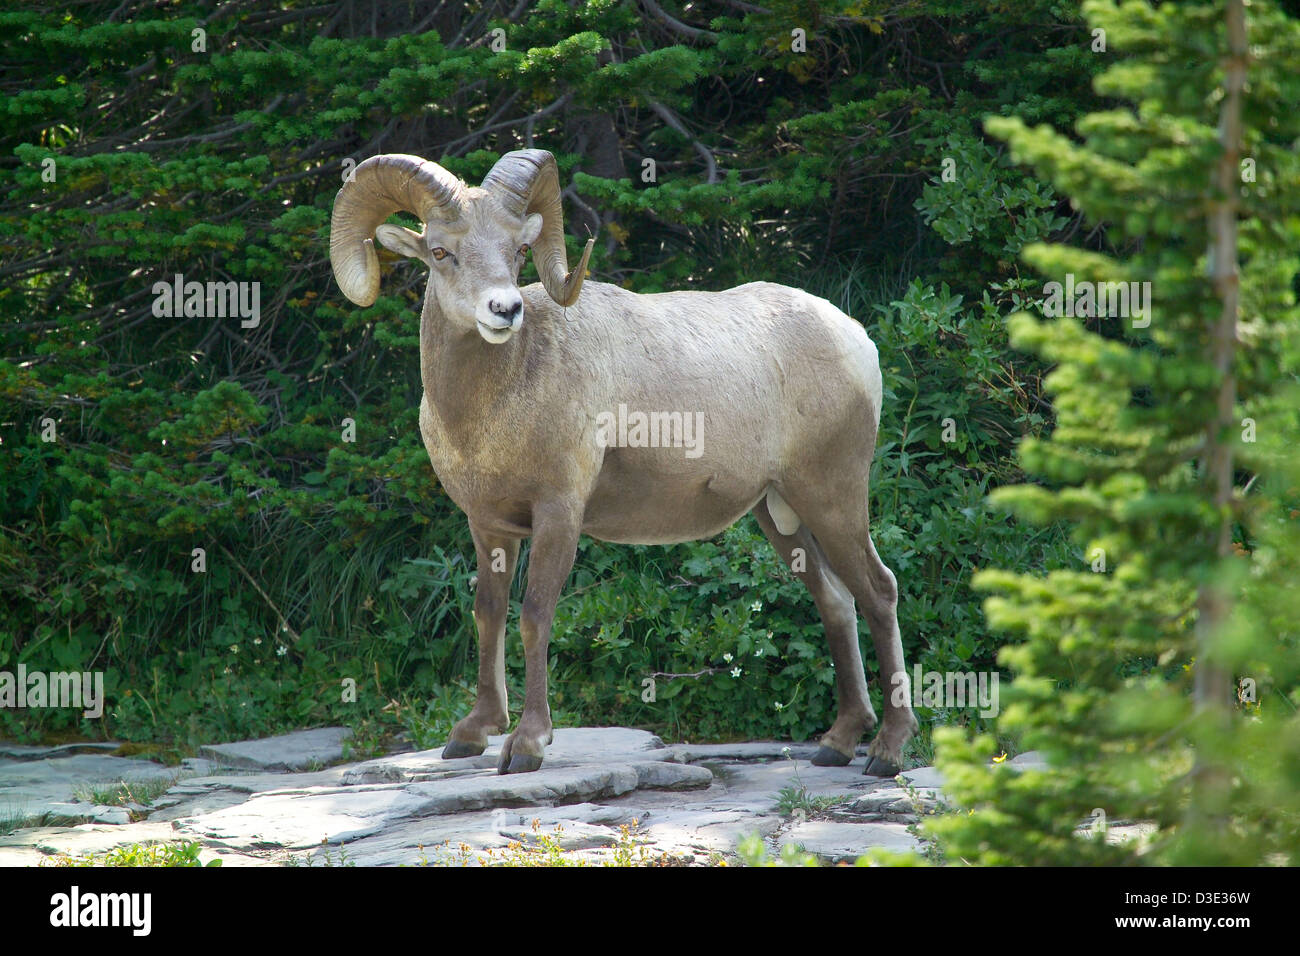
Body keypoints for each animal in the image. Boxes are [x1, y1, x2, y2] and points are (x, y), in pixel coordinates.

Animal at [329, 149, 918, 775]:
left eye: (517, 251)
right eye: (441, 252)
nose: (504, 310)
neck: (491, 410)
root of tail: (856, 339)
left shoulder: (558, 515)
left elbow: (535, 615)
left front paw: (527, 744)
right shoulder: (488, 525)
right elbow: (488, 613)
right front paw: (472, 733)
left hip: (833, 496)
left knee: (878, 591)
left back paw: (887, 750)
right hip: (780, 513)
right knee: (835, 600)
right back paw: (838, 743)